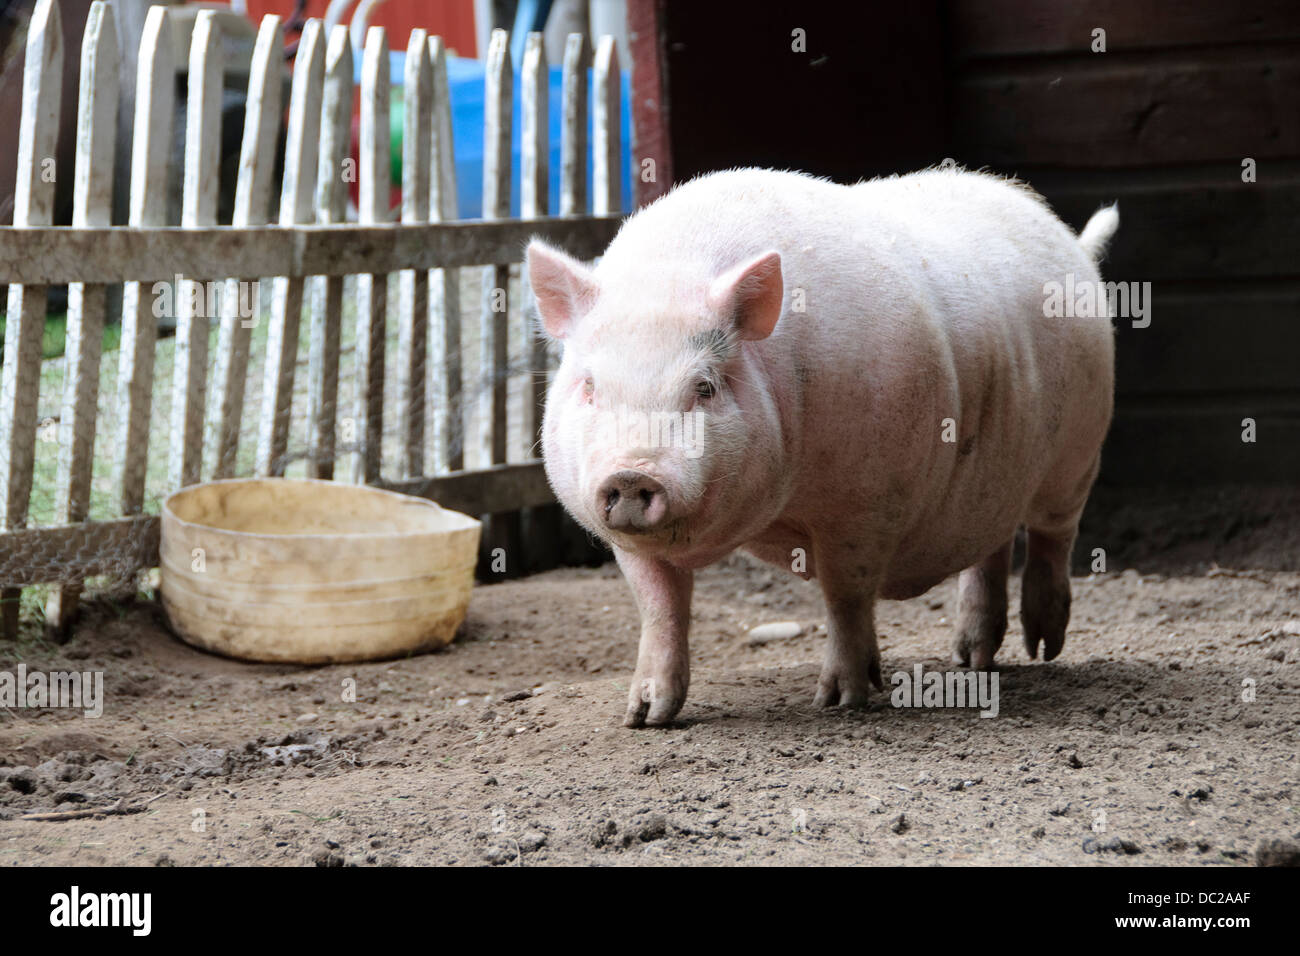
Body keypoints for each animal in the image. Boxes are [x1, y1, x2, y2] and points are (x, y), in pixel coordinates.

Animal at [526, 167, 1118, 727]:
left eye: (705, 387)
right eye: (589, 387)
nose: (631, 474)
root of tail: (1066, 237)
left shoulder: (866, 500)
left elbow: (845, 595)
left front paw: (839, 702)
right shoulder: (631, 544)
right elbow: (660, 607)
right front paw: (644, 718)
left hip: (1080, 448)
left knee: (1053, 534)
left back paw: (1044, 647)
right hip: (996, 477)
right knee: (990, 549)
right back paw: (971, 661)